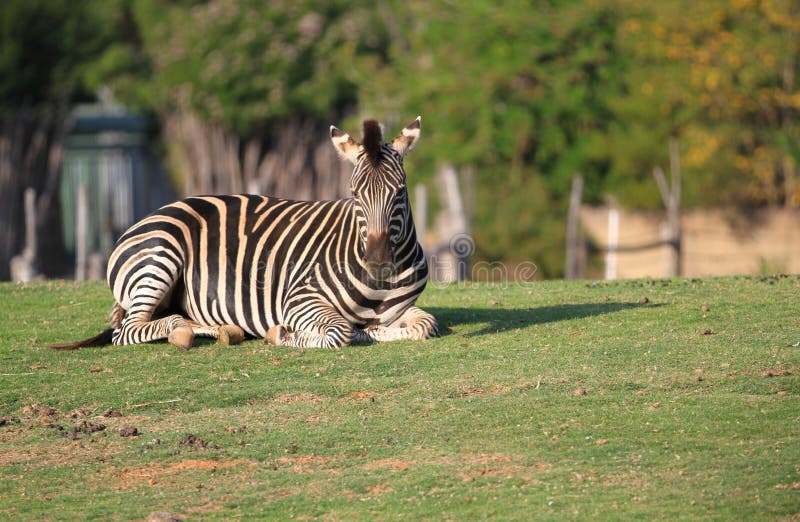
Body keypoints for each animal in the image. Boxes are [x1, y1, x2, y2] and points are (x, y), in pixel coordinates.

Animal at [50, 117, 438, 350]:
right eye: (355, 194)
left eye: (400, 192)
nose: (377, 261)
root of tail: (152, 213)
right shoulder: (299, 299)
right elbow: (338, 332)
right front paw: (284, 333)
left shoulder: (403, 310)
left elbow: (426, 325)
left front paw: (374, 330)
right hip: (160, 256)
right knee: (129, 329)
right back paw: (181, 330)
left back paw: (218, 328)